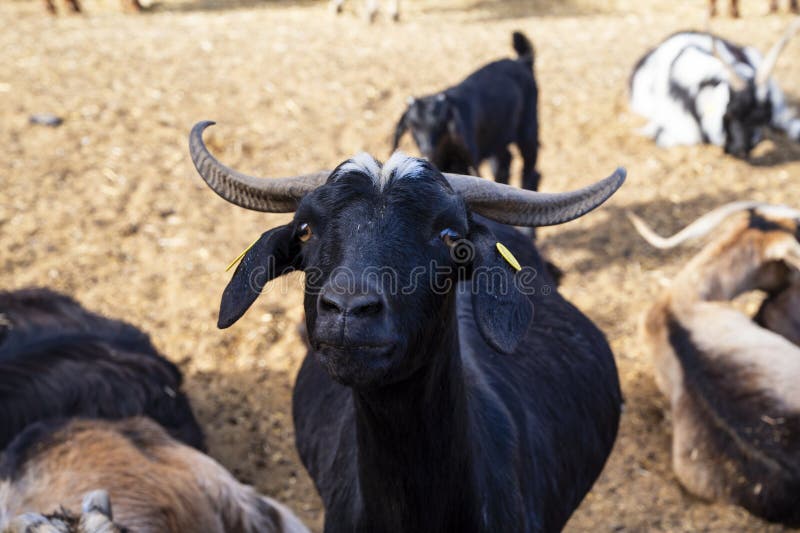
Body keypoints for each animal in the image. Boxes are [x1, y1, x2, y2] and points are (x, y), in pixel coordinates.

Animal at [392, 32, 541, 191]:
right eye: (413, 125)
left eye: (441, 124)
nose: (428, 149)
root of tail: (521, 62)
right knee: (505, 161)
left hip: (528, 130)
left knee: (530, 166)